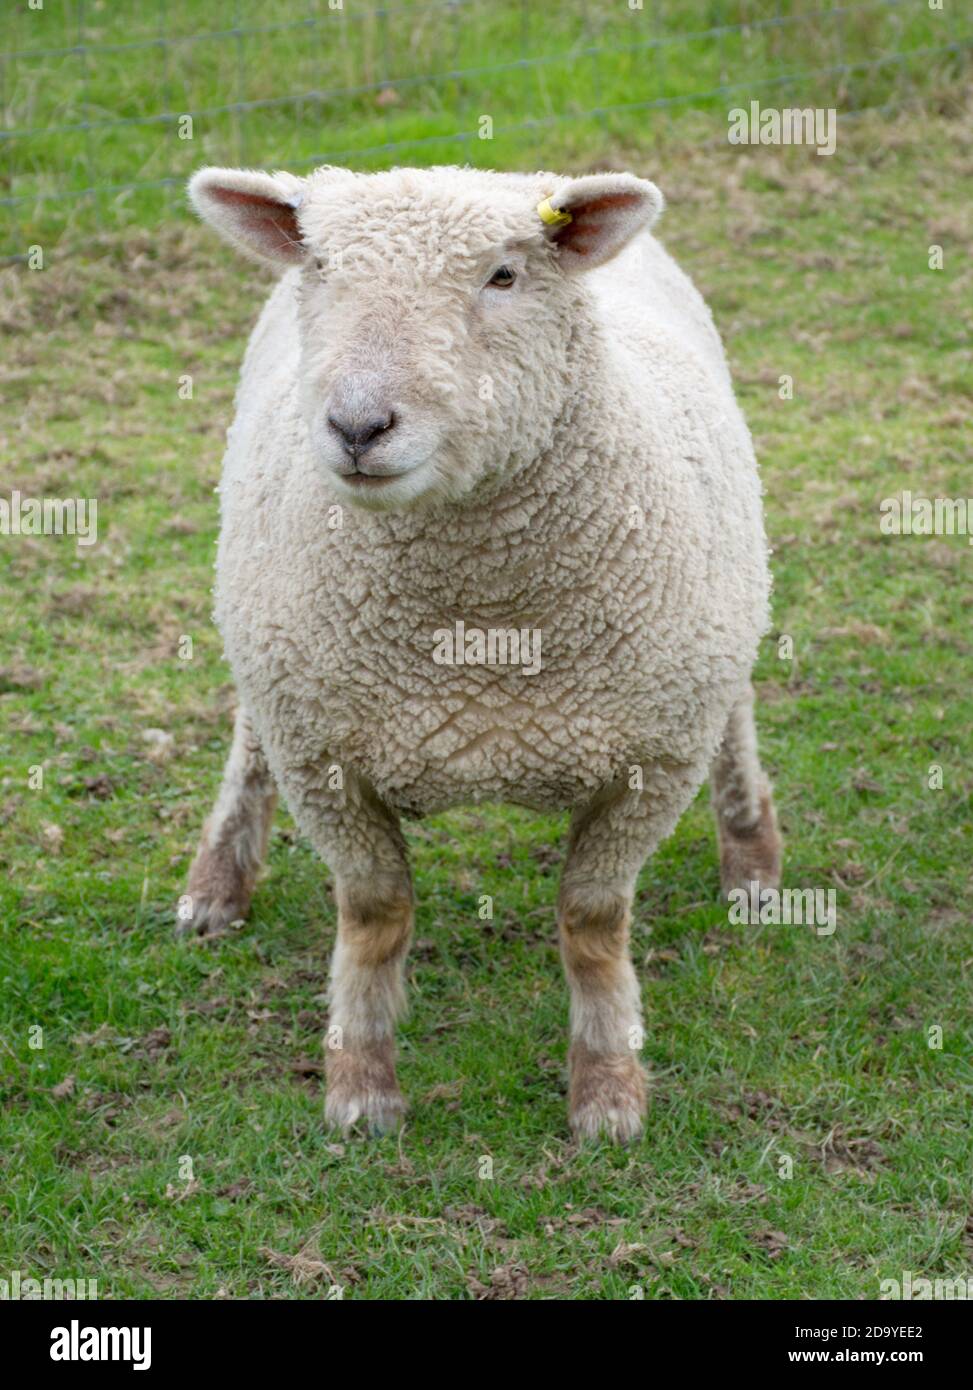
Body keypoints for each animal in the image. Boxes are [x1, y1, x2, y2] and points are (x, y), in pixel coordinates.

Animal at [183, 162, 782, 1142]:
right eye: (320, 269)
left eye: (503, 275)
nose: (358, 426)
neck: (481, 628)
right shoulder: (322, 752)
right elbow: (376, 912)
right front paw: (362, 1087)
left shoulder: (650, 760)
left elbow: (591, 919)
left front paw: (608, 1091)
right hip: (271, 643)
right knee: (246, 739)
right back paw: (214, 885)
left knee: (732, 717)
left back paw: (753, 862)